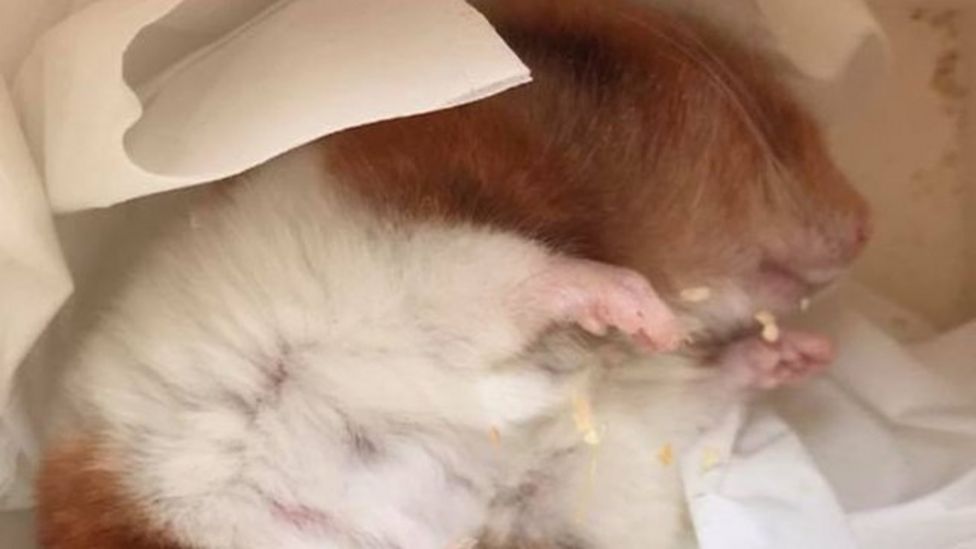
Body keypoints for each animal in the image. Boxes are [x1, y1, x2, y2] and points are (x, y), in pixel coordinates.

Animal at [35, 1, 870, 548]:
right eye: (773, 118)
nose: (868, 228)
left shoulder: (600, 451)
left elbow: (696, 390)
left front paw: (801, 353)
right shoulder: (412, 248)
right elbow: (534, 274)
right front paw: (644, 311)